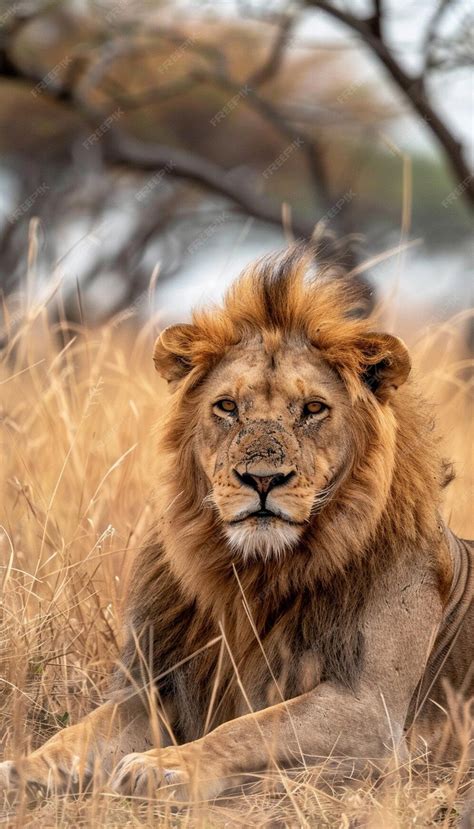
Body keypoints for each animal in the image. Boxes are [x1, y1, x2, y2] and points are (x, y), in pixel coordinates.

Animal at [1, 243, 472, 804]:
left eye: (313, 408)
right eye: (227, 406)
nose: (262, 479)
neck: (250, 574)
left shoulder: (370, 709)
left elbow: (249, 728)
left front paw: (166, 766)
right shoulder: (154, 686)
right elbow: (80, 732)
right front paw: (24, 769)